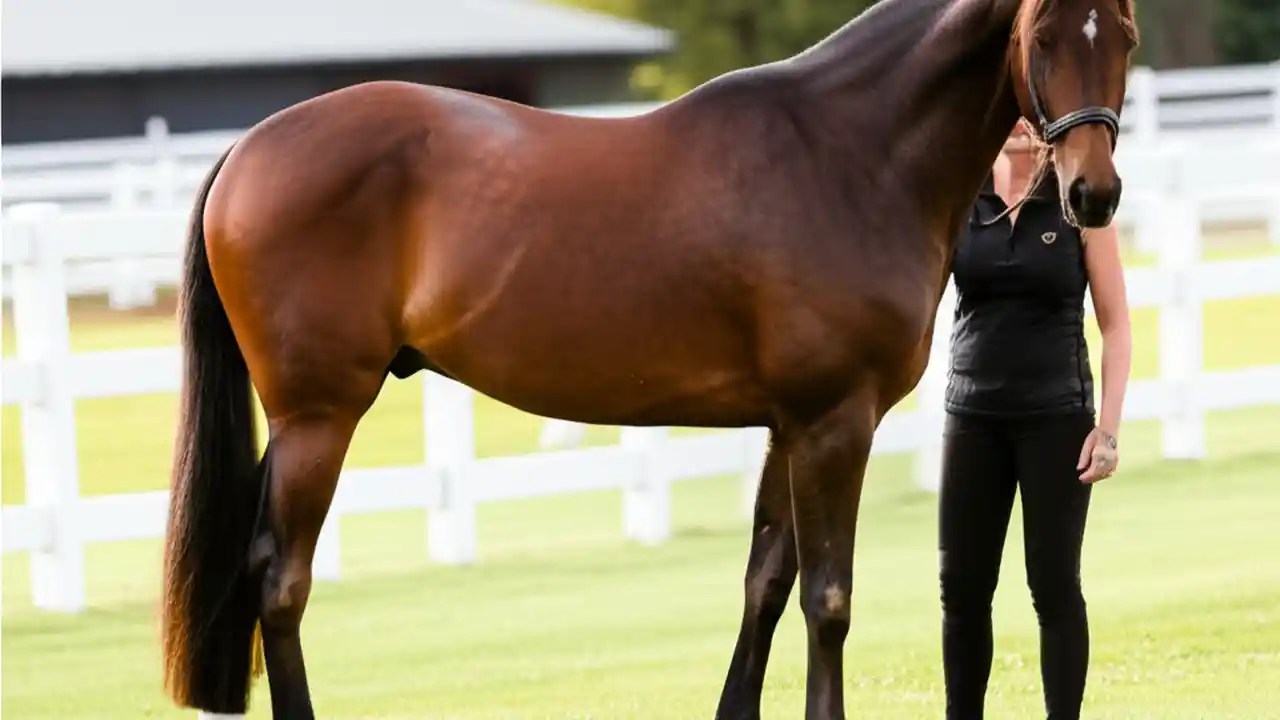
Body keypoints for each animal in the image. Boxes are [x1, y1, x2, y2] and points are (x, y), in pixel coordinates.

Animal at [159, 0, 1137, 717]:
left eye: (1122, 36)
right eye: (1042, 37)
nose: (1093, 194)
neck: (847, 157)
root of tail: (248, 147)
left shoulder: (789, 426)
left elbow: (765, 583)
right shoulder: (835, 421)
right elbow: (827, 599)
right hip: (317, 418)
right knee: (279, 583)